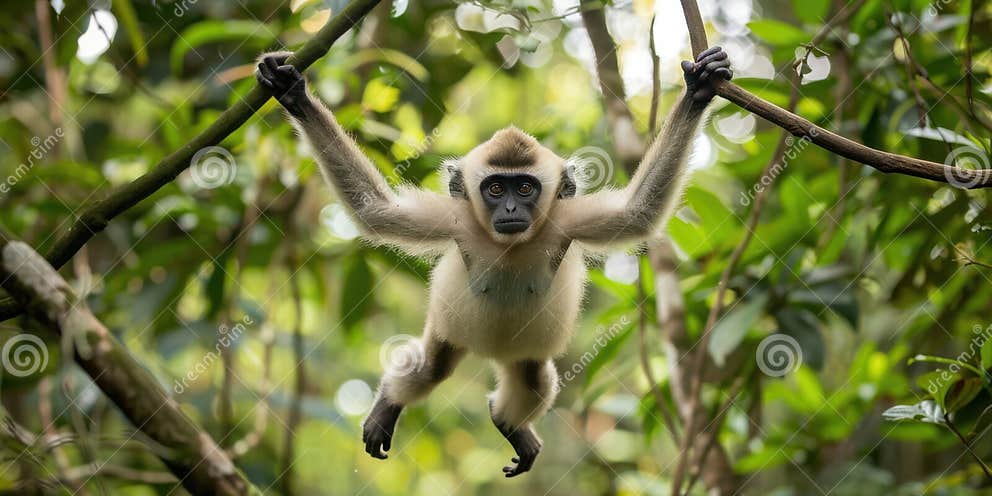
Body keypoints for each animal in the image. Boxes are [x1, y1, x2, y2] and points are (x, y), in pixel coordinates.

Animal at [256, 46, 731, 477]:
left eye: (524, 188)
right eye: (495, 188)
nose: (510, 210)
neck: (510, 244)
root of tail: (492, 352)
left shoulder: (568, 221)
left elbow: (640, 213)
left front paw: (700, 90)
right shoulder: (455, 219)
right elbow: (374, 211)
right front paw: (293, 95)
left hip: (524, 354)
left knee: (534, 380)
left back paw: (509, 423)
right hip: (450, 331)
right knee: (431, 368)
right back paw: (390, 403)